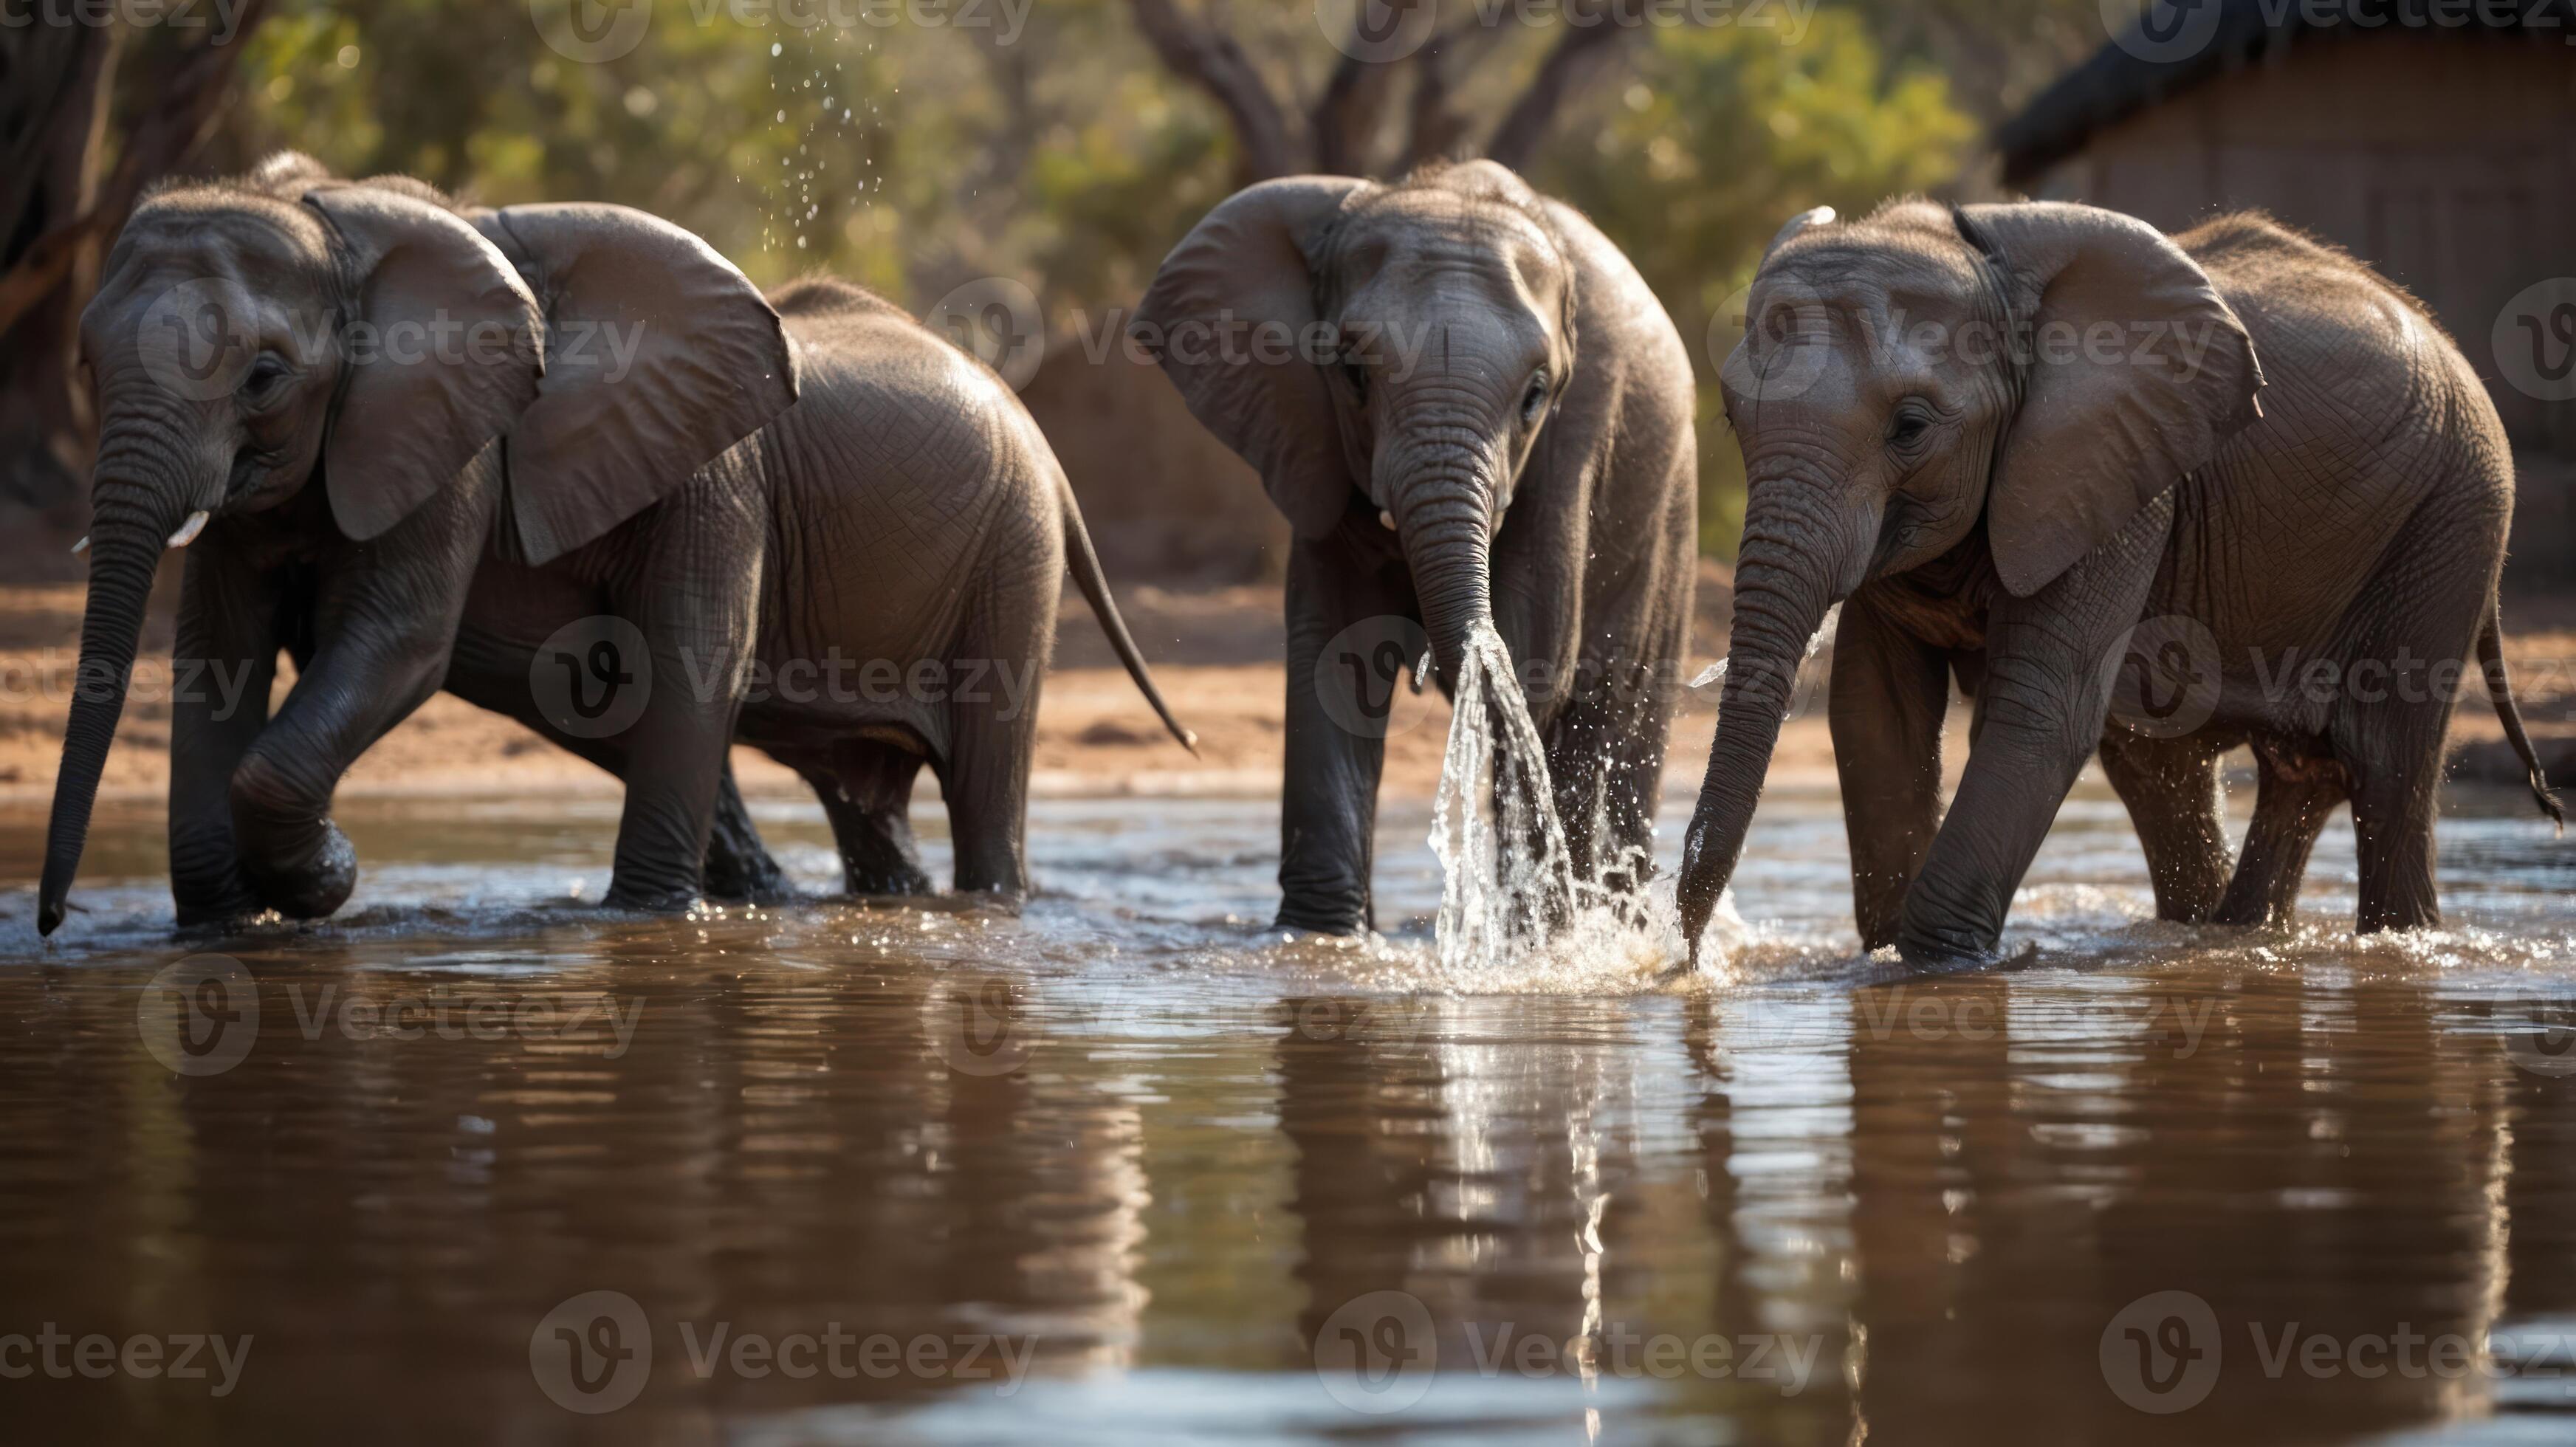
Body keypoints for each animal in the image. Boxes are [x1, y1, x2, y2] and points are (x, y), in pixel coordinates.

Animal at [36, 153, 1188, 936]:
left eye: (264, 376)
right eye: (84, 360)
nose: (48, 923)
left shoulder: (662, 471)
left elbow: (423, 643)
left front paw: (331, 881)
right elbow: (218, 660)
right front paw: (231, 928)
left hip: (1013, 554)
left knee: (985, 775)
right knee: (867, 798)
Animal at [1135, 160, 1699, 935]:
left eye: (1536, 395)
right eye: (1352, 374)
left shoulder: (1576, 438)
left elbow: (1534, 656)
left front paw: (1534, 943)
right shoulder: (1312, 438)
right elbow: (1334, 660)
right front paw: (1320, 938)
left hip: (1671, 508)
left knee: (1618, 713)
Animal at [1673, 198, 2562, 970]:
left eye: (1911, 428)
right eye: (1732, 418)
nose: (1686, 957)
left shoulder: (2115, 477)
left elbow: (2039, 712)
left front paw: (1937, 968)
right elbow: (1874, 712)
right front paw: (1888, 957)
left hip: (2453, 518)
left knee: (2384, 764)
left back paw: (2394, 947)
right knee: (2206, 768)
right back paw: (2228, 939)